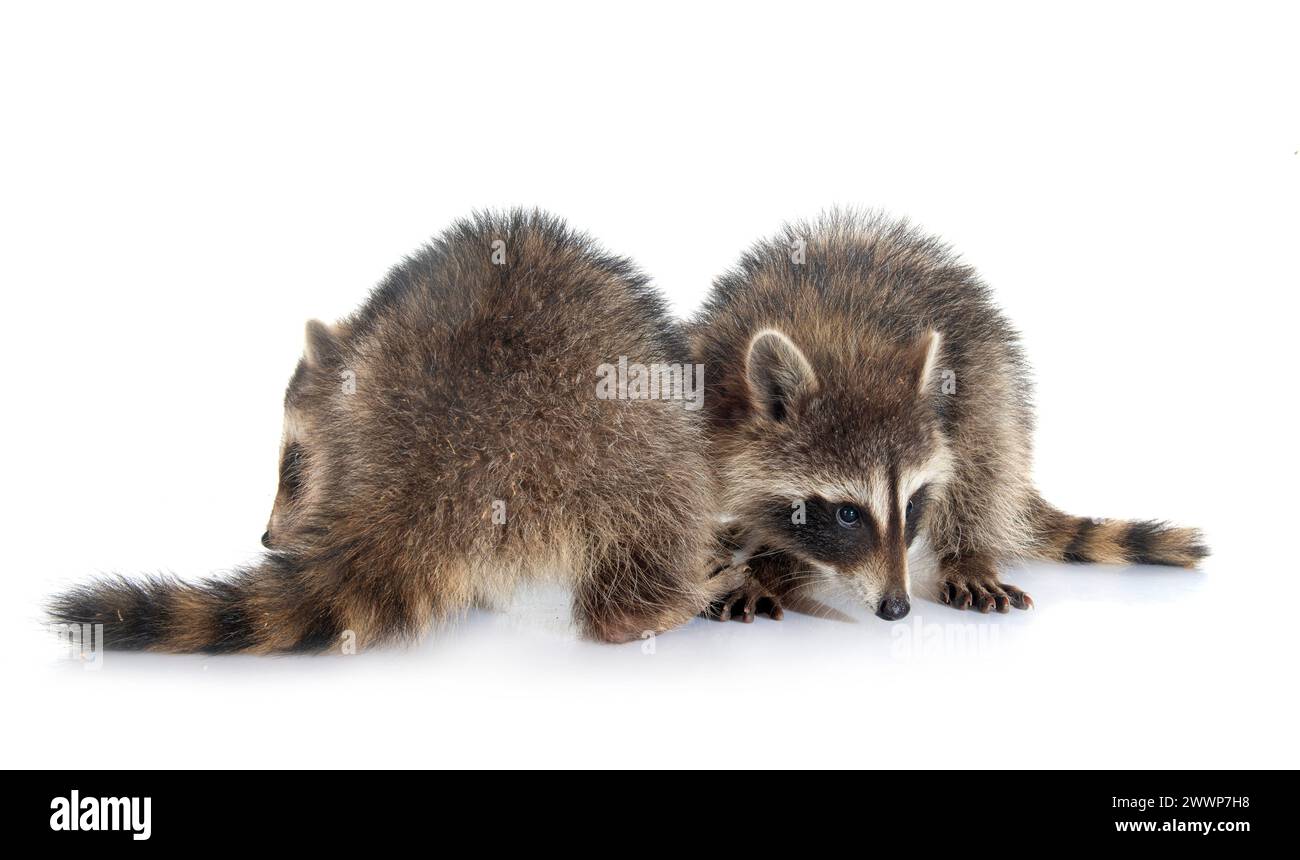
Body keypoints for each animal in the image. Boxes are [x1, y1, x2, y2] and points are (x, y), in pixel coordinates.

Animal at [693, 211, 1207, 621]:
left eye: (911, 506)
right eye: (847, 514)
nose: (896, 607)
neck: (842, 352)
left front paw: (770, 566)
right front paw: (761, 561)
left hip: (987, 368)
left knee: (987, 449)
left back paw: (970, 551)